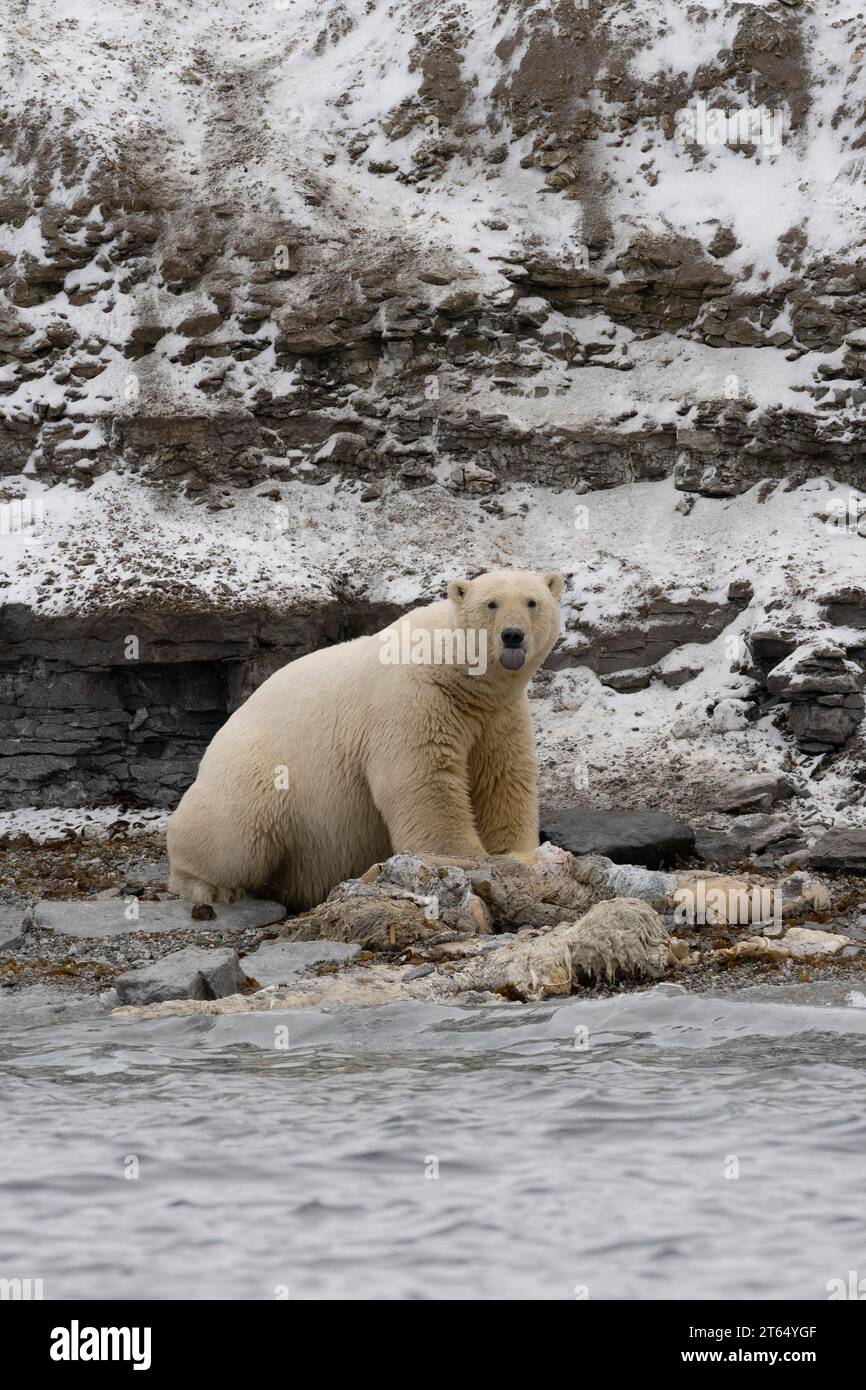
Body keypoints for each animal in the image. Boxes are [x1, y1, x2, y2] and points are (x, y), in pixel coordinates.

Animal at [167, 568, 564, 910]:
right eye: (492, 603)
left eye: (532, 602)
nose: (512, 635)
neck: (458, 674)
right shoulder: (414, 700)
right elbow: (423, 778)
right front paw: (465, 857)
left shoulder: (497, 713)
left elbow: (502, 777)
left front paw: (518, 854)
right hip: (259, 772)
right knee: (234, 833)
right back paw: (207, 886)